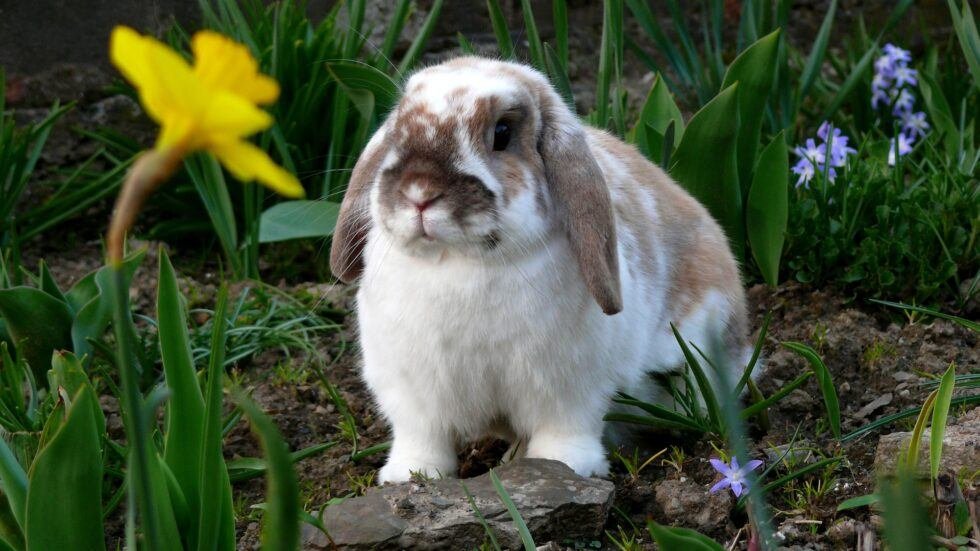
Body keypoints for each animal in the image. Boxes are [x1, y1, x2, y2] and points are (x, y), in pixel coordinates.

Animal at [329, 57, 752, 484]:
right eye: (398, 130)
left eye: (502, 133)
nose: (420, 192)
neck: (461, 263)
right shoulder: (413, 392)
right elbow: (422, 435)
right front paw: (411, 475)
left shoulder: (569, 387)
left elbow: (567, 425)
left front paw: (564, 464)